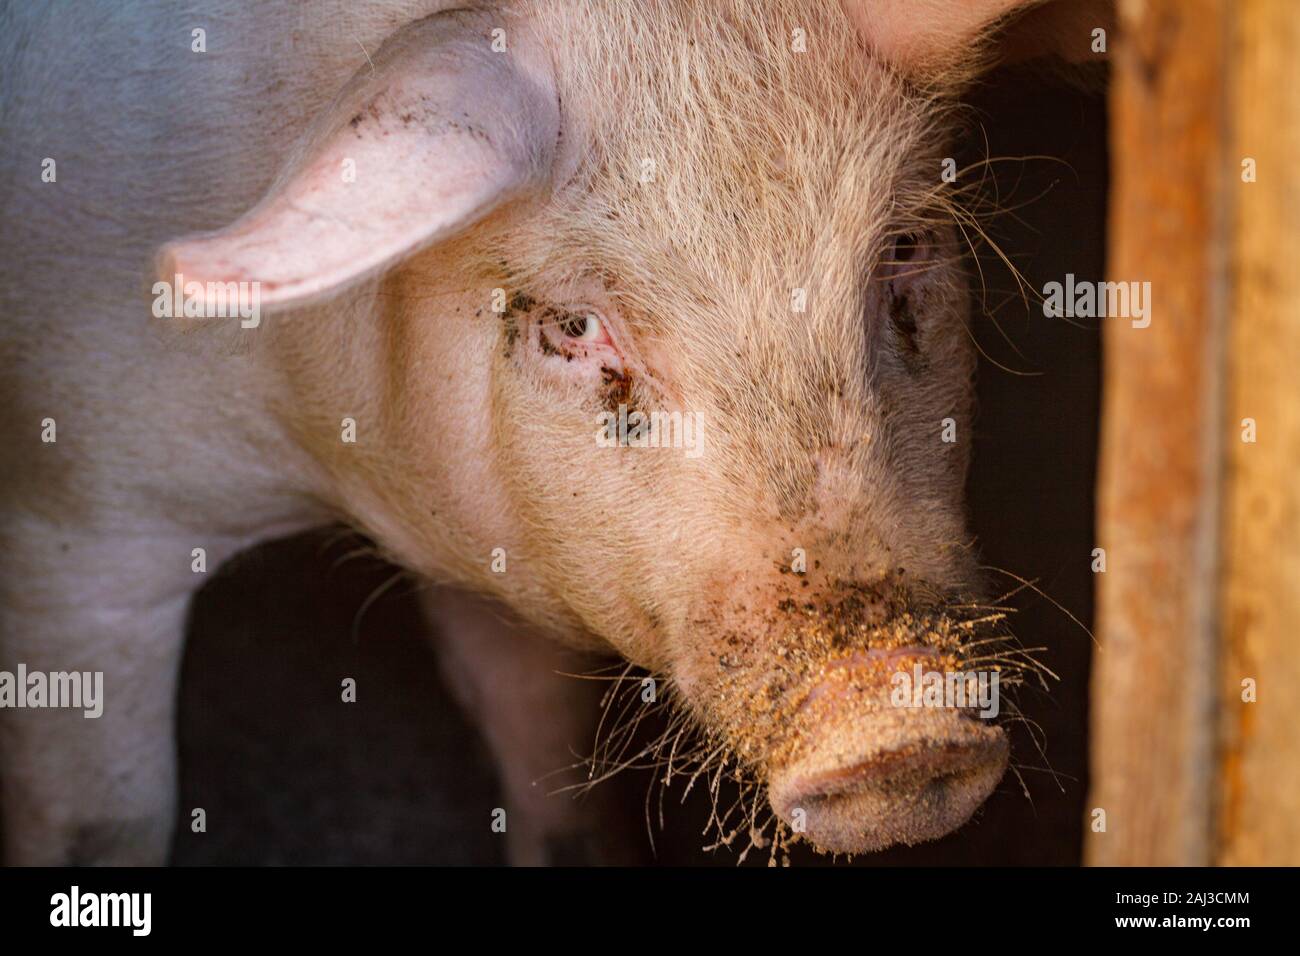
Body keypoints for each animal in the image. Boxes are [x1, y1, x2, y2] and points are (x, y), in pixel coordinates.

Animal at [0, 0, 1107, 865]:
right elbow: (102, 824)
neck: (333, 464)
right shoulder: (73, 527)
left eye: (906, 247)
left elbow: (541, 750)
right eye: (571, 326)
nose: (897, 727)